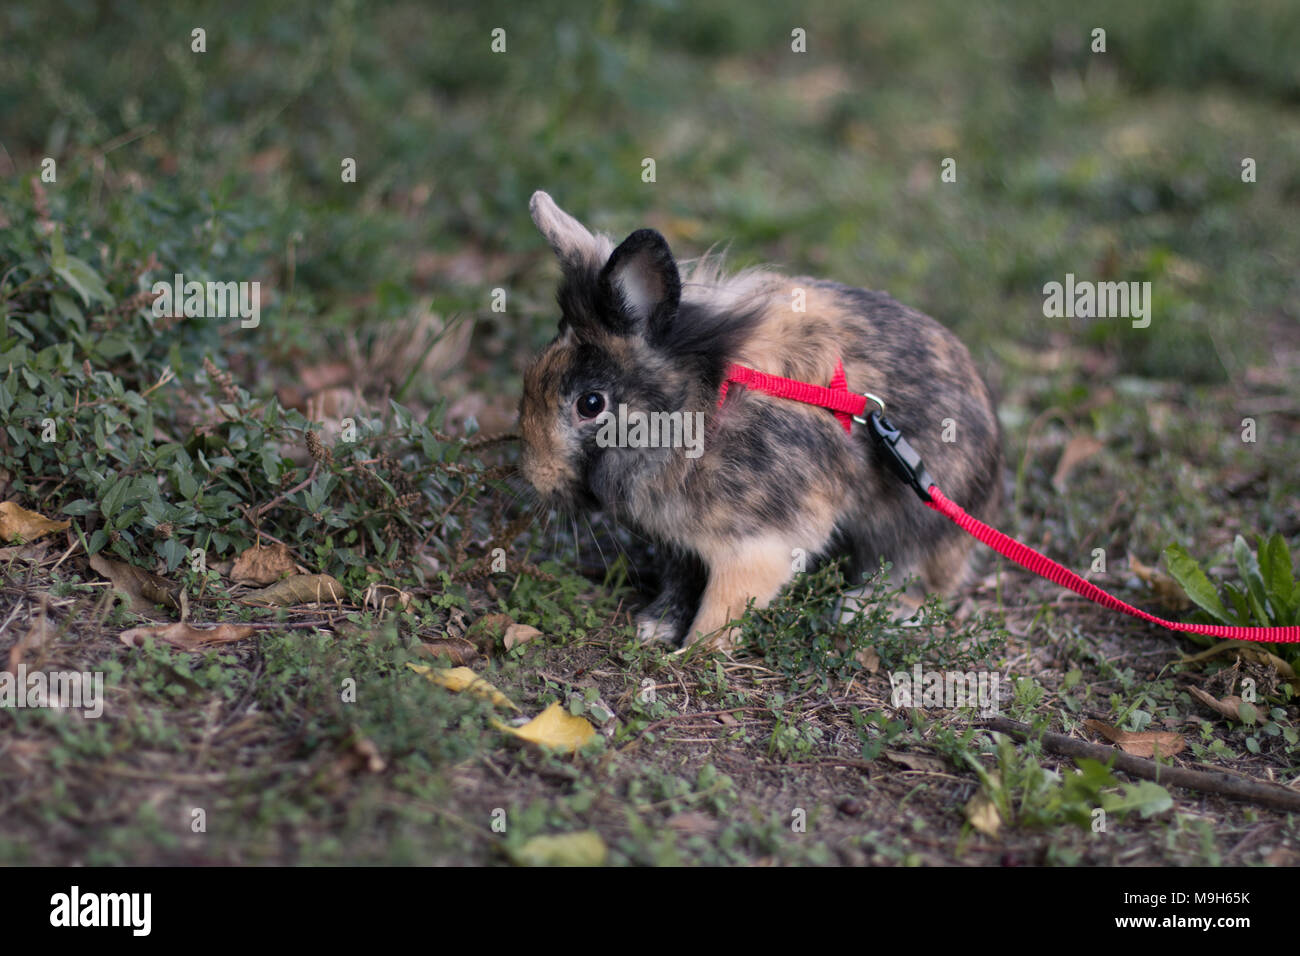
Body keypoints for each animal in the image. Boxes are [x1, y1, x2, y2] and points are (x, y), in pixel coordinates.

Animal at [518, 191, 1003, 652]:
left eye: (591, 403)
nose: (534, 476)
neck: (697, 410)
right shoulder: (681, 543)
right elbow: (682, 580)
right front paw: (656, 628)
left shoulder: (760, 543)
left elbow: (725, 603)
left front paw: (694, 652)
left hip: (918, 525)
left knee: (916, 578)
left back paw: (856, 610)